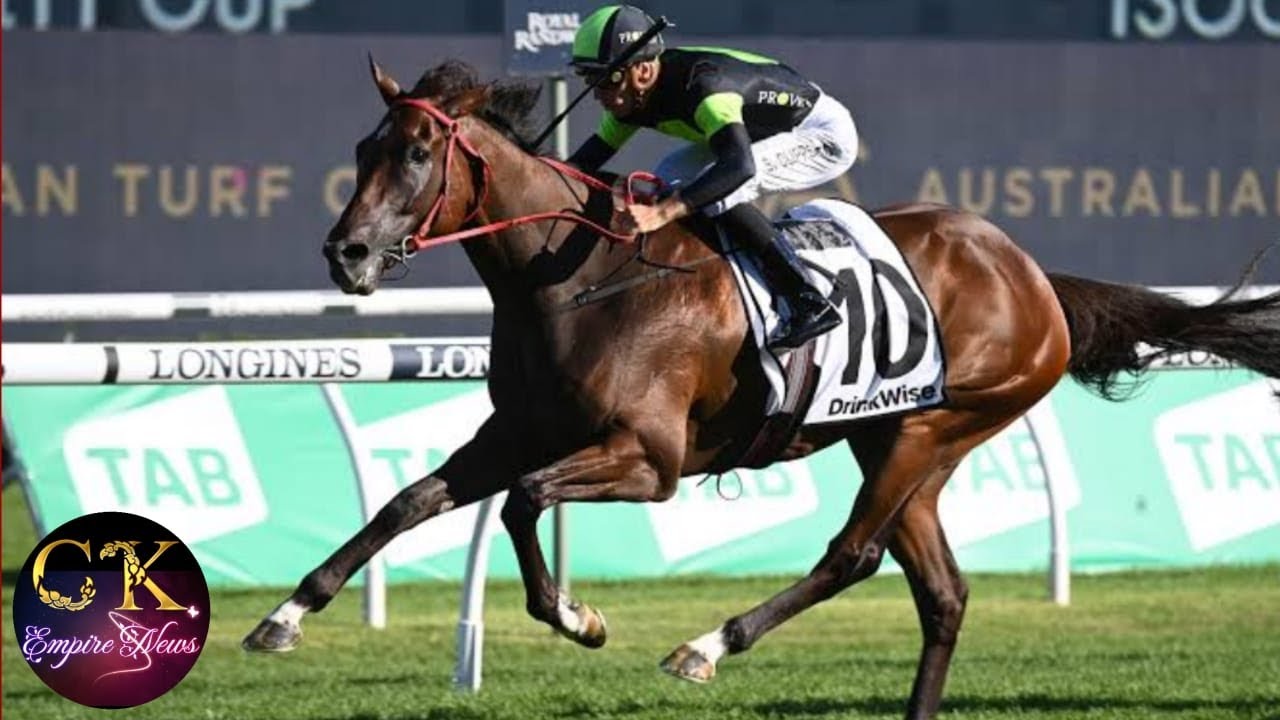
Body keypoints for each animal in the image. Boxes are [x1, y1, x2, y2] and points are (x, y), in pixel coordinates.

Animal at [243, 59, 1280, 720]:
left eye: (417, 156)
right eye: (364, 147)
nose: (346, 253)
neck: (573, 274)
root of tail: (1032, 275)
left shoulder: (648, 459)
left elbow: (524, 504)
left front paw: (579, 618)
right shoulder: (519, 428)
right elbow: (409, 502)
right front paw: (283, 618)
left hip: (938, 427)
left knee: (853, 557)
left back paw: (707, 646)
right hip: (896, 437)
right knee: (941, 593)